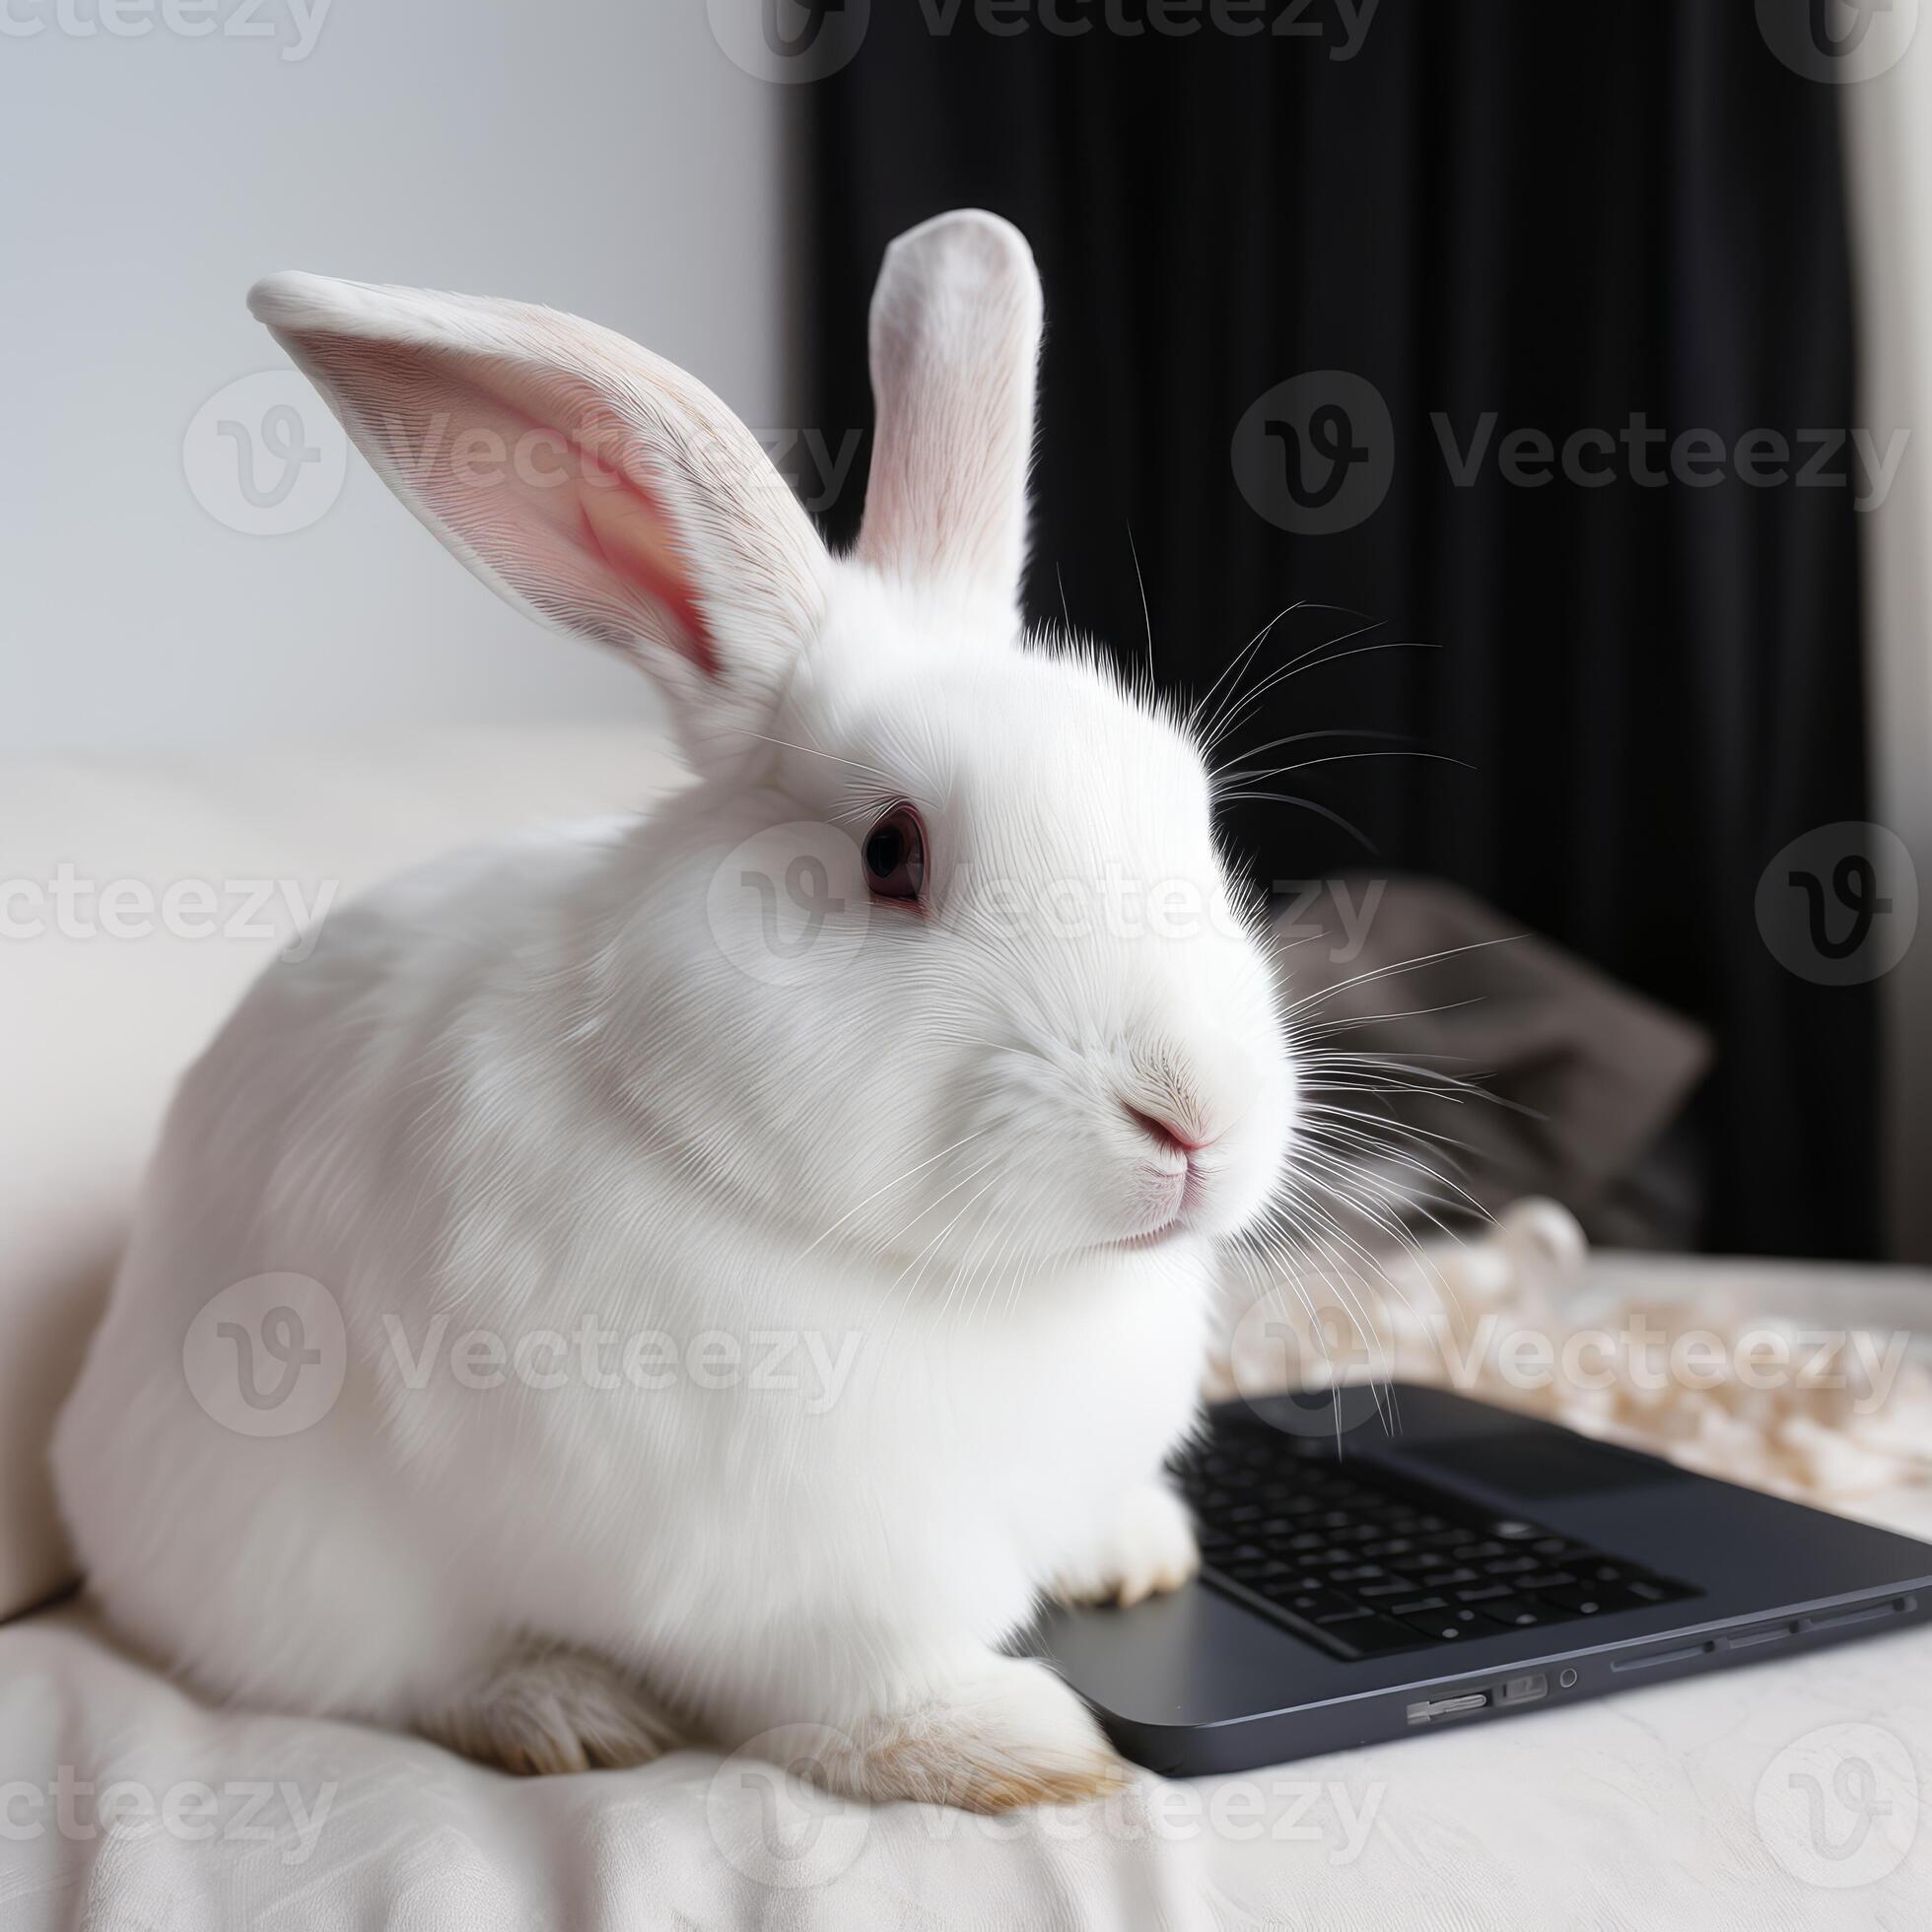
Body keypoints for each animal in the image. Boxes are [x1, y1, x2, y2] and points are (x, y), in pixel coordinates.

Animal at [52, 210, 1297, 1811]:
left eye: (1189, 807)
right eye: (892, 852)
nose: (1195, 1117)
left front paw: (1140, 1559)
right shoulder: (815, 1579)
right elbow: (867, 1693)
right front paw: (1023, 1750)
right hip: (292, 1564)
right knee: (383, 1672)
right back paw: (560, 1710)